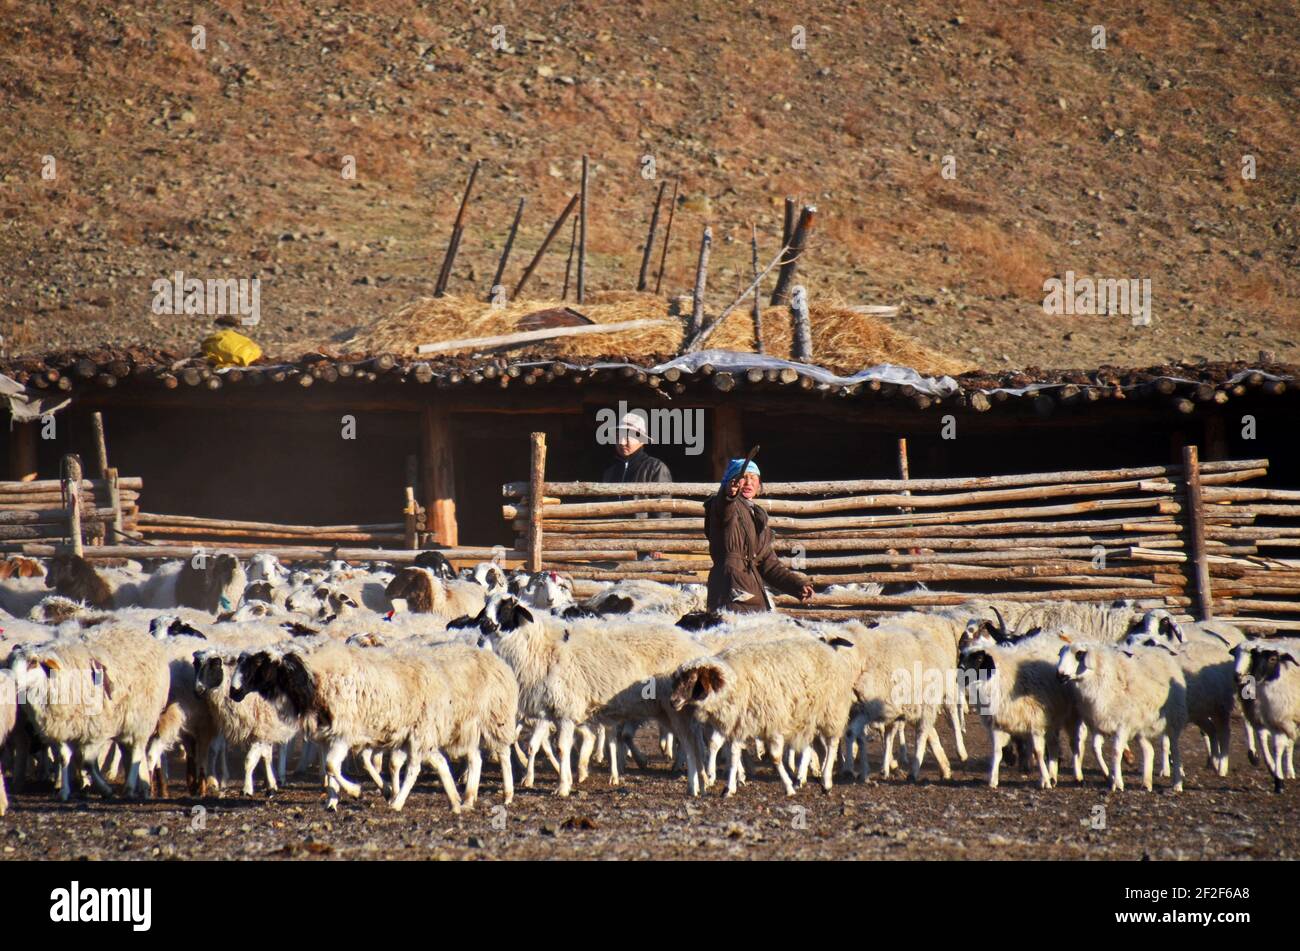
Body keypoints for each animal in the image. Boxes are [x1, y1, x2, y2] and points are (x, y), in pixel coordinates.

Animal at [8, 623, 171, 799]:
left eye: (32, 663)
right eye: (10, 663)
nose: (12, 682)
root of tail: (143, 634)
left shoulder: (97, 731)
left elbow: (87, 761)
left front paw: (105, 789)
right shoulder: (63, 728)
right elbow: (65, 758)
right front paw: (64, 792)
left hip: (141, 718)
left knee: (137, 751)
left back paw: (129, 788)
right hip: (124, 721)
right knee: (128, 751)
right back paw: (141, 787)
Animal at [669, 636, 856, 796]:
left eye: (692, 679)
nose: (673, 701)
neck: (733, 681)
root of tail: (829, 649)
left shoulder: (773, 724)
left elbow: (775, 758)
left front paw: (788, 787)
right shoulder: (739, 724)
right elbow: (733, 755)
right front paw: (729, 788)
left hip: (832, 712)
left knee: (832, 744)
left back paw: (826, 781)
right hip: (808, 718)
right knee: (812, 745)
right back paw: (808, 778)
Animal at [1057, 641, 1187, 791]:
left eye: (1079, 654)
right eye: (1060, 654)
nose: (1059, 675)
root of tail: (1162, 653)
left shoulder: (1123, 725)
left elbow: (1115, 751)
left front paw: (1117, 783)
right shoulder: (1098, 723)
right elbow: (1095, 749)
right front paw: (1109, 776)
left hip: (1173, 720)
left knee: (1175, 749)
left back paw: (1177, 784)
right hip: (1140, 728)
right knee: (1149, 750)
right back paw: (1146, 783)